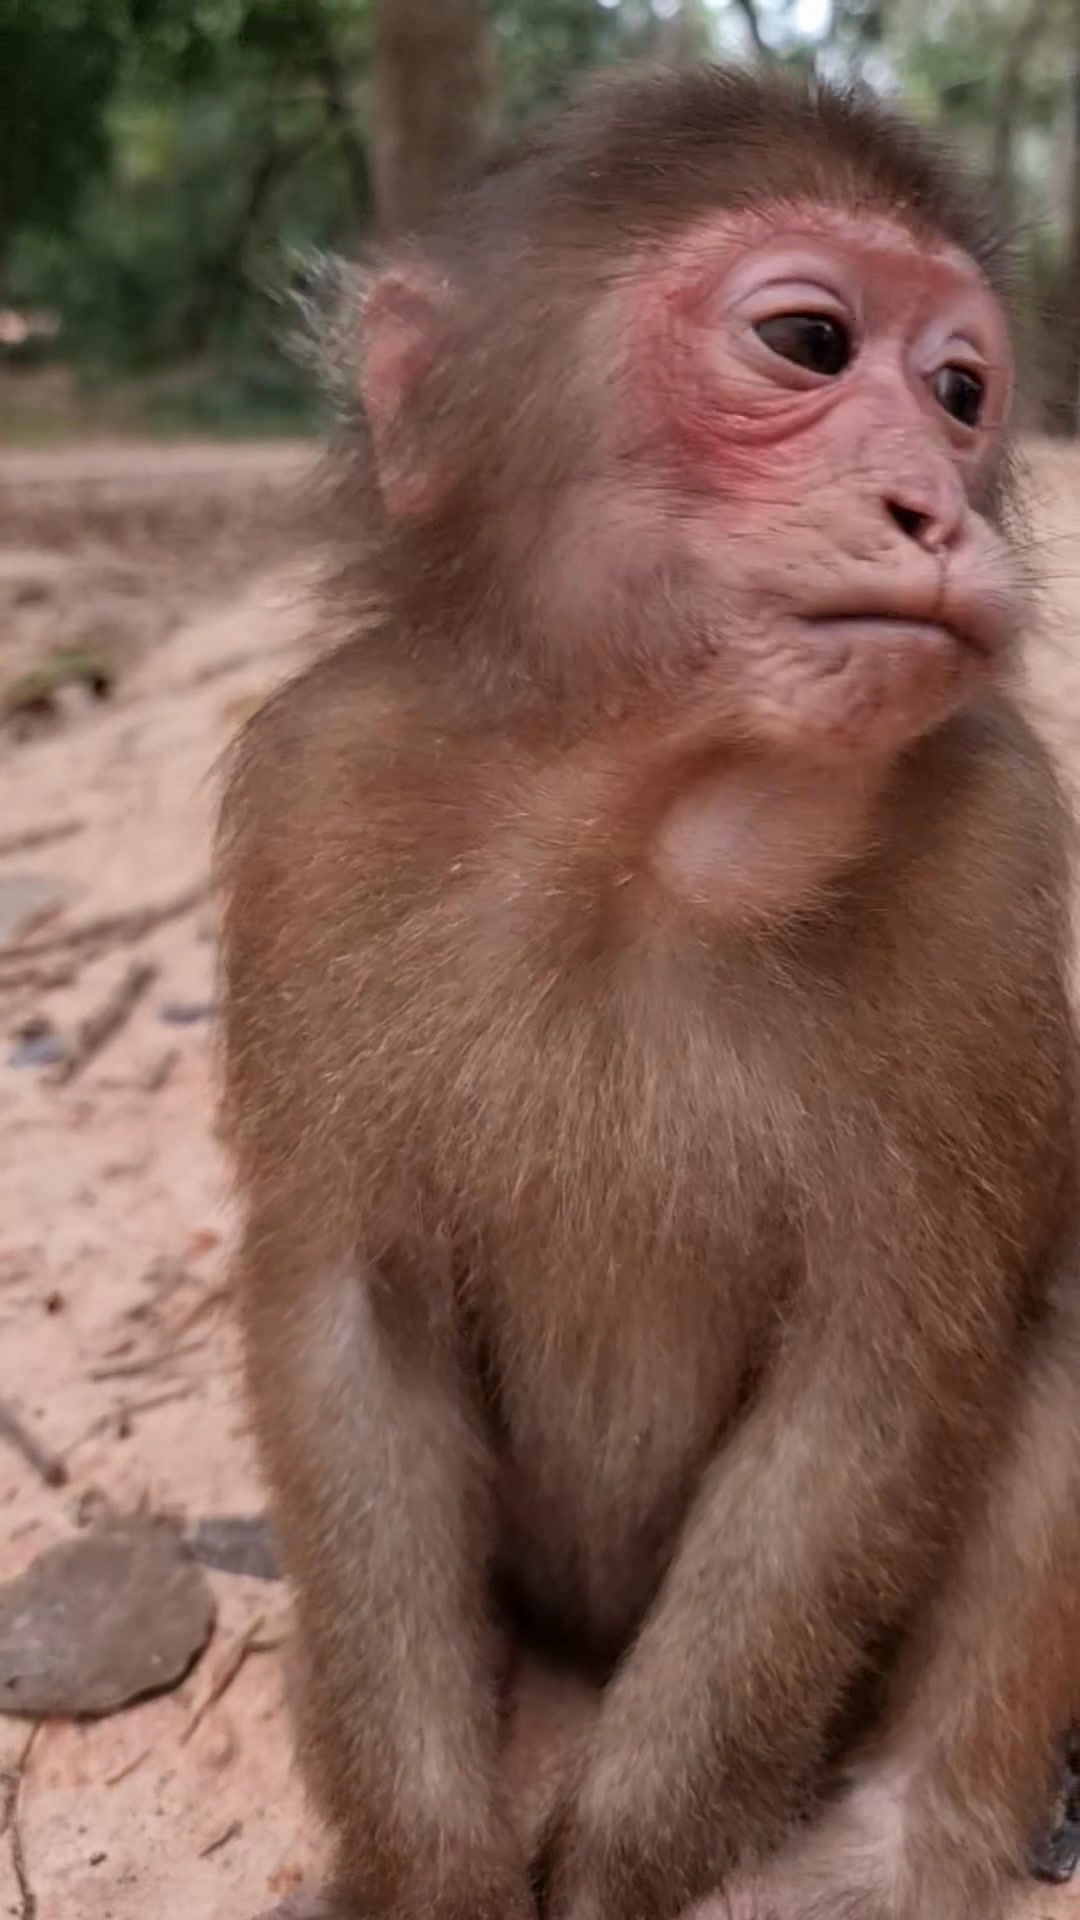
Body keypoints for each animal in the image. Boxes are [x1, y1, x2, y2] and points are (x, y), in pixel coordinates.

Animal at [217, 62, 1080, 1920]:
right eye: (811, 344)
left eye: (960, 393)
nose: (935, 501)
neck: (651, 821)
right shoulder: (325, 794)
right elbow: (354, 1328)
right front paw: (433, 1866)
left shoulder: (995, 849)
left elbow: (875, 1372)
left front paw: (625, 1865)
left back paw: (901, 1847)